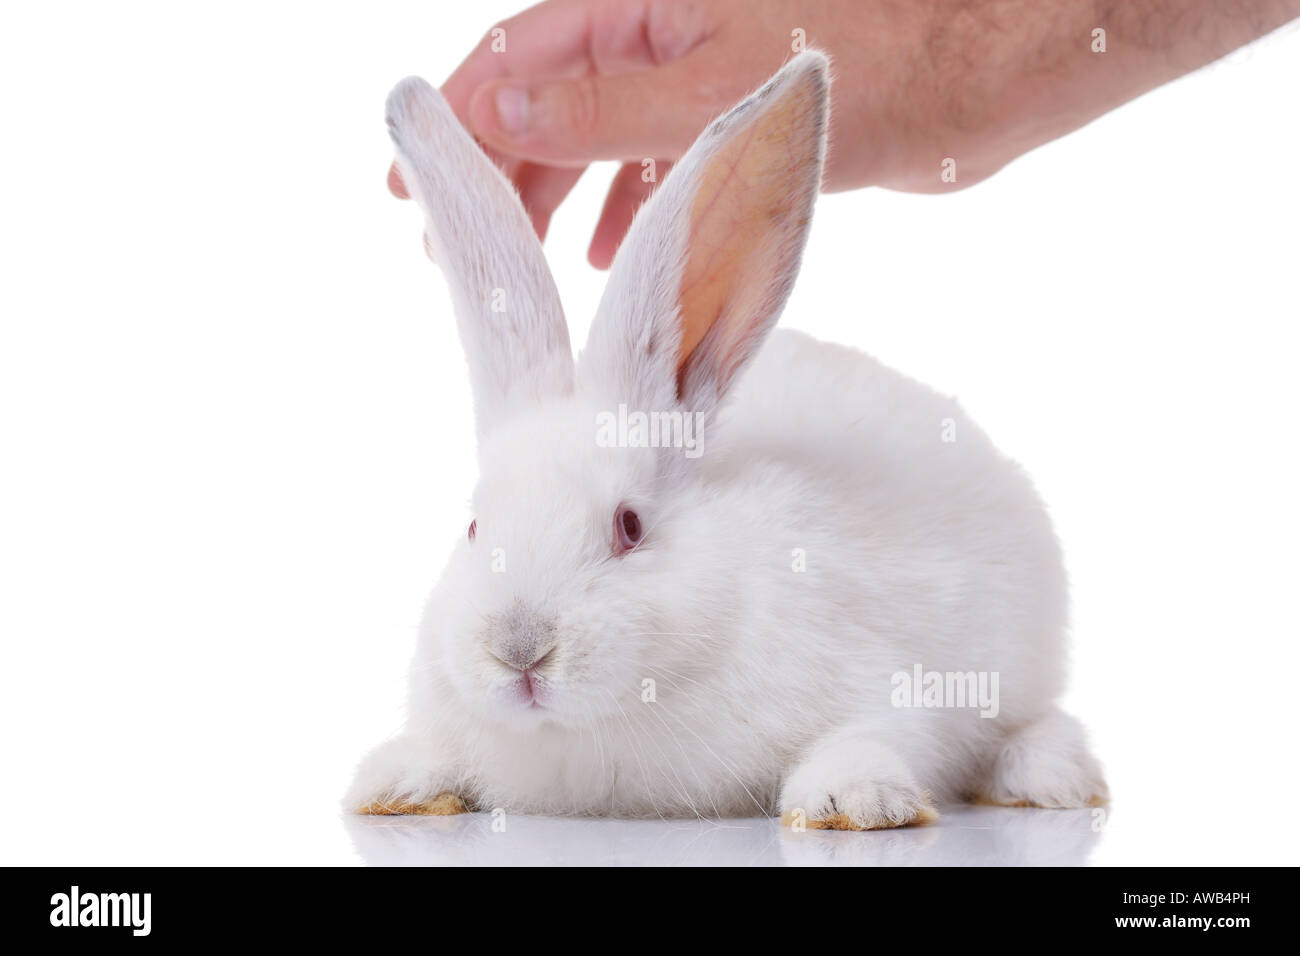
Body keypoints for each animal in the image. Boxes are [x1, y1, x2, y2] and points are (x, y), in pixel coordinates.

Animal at [344, 51, 1107, 830]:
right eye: (473, 526)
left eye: (629, 526)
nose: (520, 650)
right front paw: (394, 784)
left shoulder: (889, 686)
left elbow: (877, 735)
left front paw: (850, 801)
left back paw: (1046, 778)